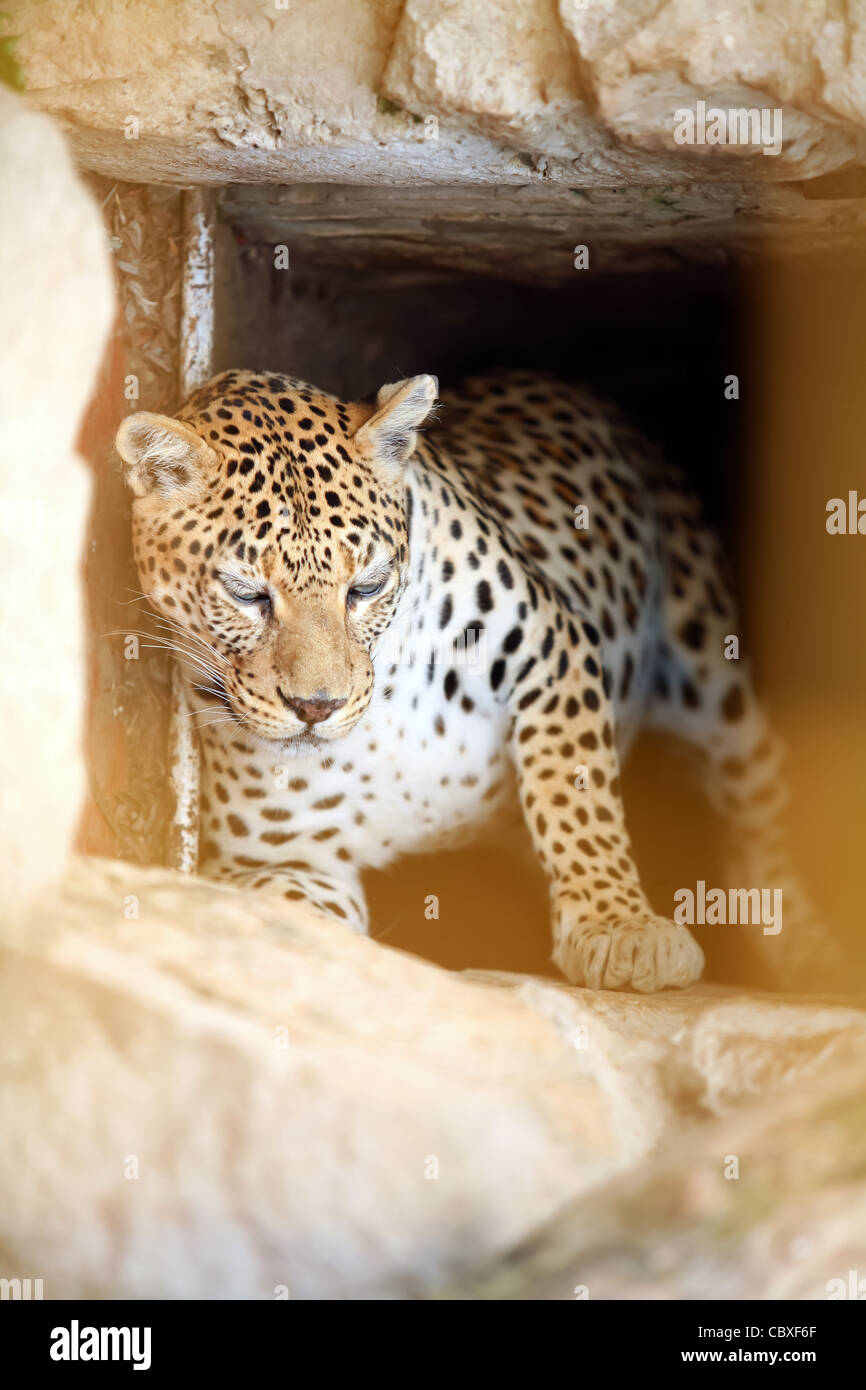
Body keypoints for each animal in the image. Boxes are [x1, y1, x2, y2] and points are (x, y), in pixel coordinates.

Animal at [116, 367, 826, 992]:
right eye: (247, 594)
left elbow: (577, 799)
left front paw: (619, 926)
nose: (318, 707)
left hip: (717, 681)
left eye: (365, 586)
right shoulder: (281, 861)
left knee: (760, 816)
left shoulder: (552, 646)